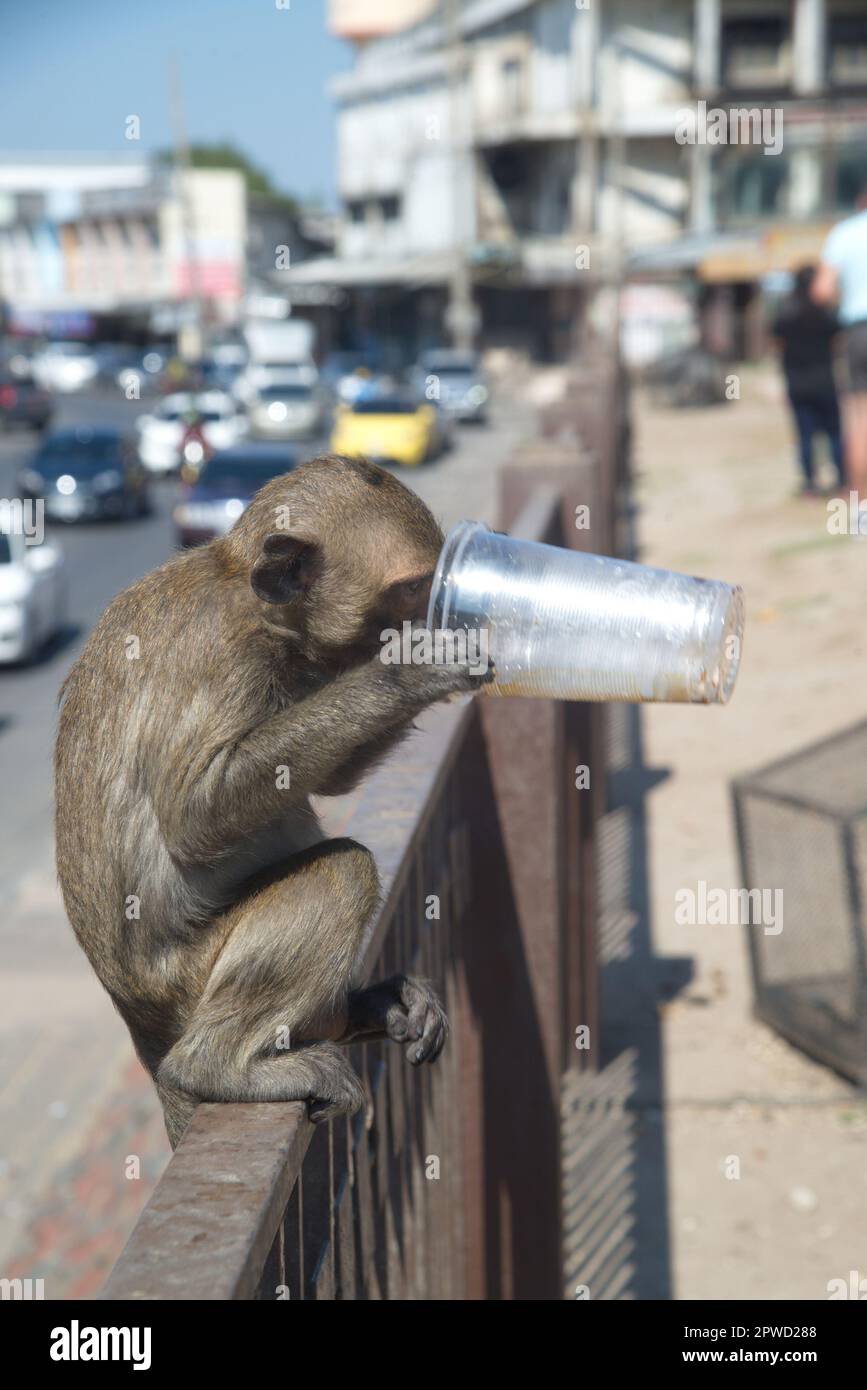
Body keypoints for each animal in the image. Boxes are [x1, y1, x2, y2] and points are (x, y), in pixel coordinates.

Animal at [55, 454, 491, 1148]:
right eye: (412, 586)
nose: (432, 609)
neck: (252, 602)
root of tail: (140, 1021)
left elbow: (325, 785)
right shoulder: (220, 652)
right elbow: (194, 816)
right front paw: (410, 667)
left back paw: (363, 1007)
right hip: (187, 979)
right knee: (341, 872)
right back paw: (216, 1069)